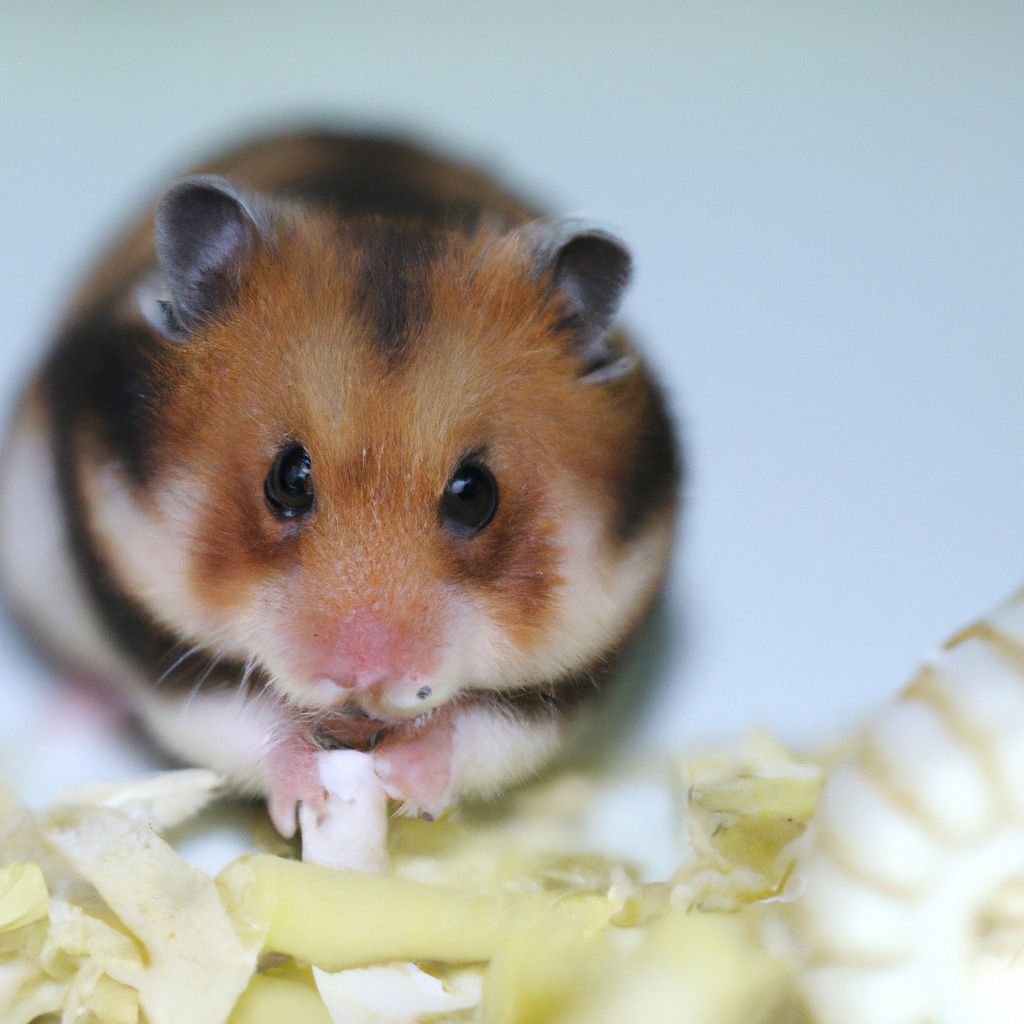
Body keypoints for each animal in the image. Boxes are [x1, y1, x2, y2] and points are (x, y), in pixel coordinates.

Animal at [0, 129, 680, 836]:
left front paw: (399, 779)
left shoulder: (573, 668)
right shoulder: (157, 635)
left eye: (475, 494)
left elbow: (485, 731)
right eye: (289, 479)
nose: (364, 676)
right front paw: (311, 796)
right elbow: (236, 720)